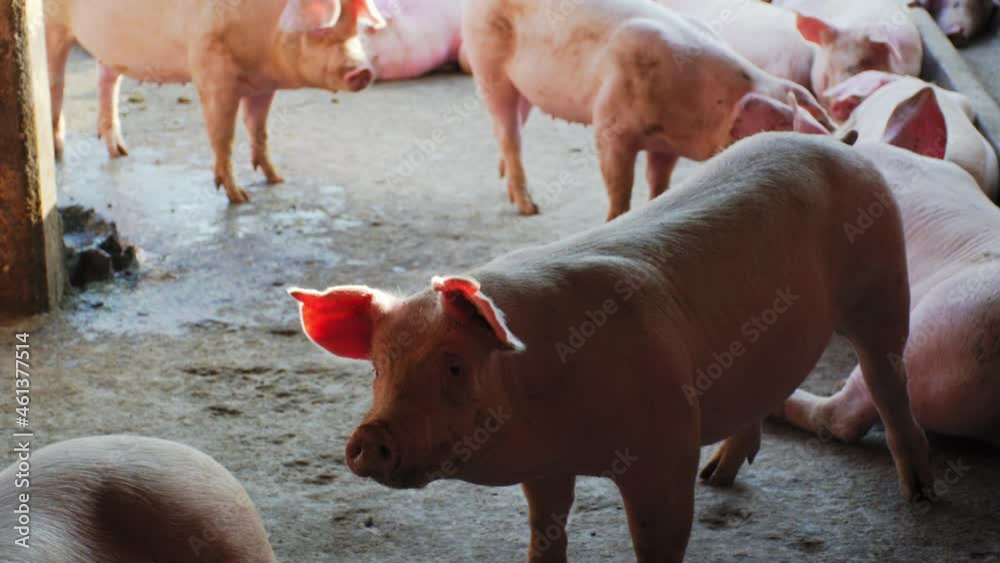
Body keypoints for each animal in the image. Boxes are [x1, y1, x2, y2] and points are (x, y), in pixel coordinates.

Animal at [44, 0, 386, 203]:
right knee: (54, 83)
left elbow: (259, 128)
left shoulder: (263, 84)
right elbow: (223, 134)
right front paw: (240, 197)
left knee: (106, 78)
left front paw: (277, 178)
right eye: (320, 28)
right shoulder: (211, 69)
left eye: (355, 28)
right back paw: (57, 151)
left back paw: (120, 151)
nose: (363, 71)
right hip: (52, 28)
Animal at [289, 132, 932, 562]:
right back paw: (718, 477)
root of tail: (836, 142)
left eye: (453, 365)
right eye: (378, 368)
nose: (369, 437)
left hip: (884, 283)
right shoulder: (546, 467)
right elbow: (546, 528)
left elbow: (656, 536)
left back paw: (919, 495)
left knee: (888, 382)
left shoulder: (665, 444)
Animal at [461, 0, 832, 220]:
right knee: (507, 131)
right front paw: (616, 220)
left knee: (515, 124)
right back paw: (529, 207)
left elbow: (659, 182)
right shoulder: (610, 128)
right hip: (488, 65)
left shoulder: (667, 145)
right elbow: (620, 187)